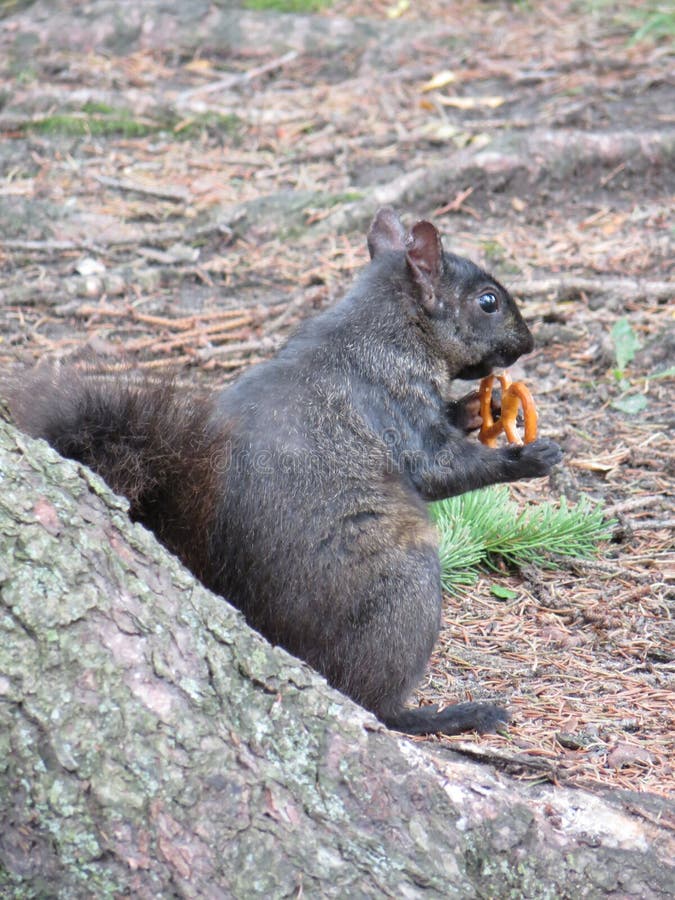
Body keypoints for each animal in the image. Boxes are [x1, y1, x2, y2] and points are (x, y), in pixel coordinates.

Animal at [5, 207, 562, 736]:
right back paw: (450, 715)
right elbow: (437, 469)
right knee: (371, 702)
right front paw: (530, 457)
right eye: (488, 301)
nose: (529, 343)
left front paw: (483, 406)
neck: (386, 330)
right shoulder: (389, 402)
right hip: (402, 587)